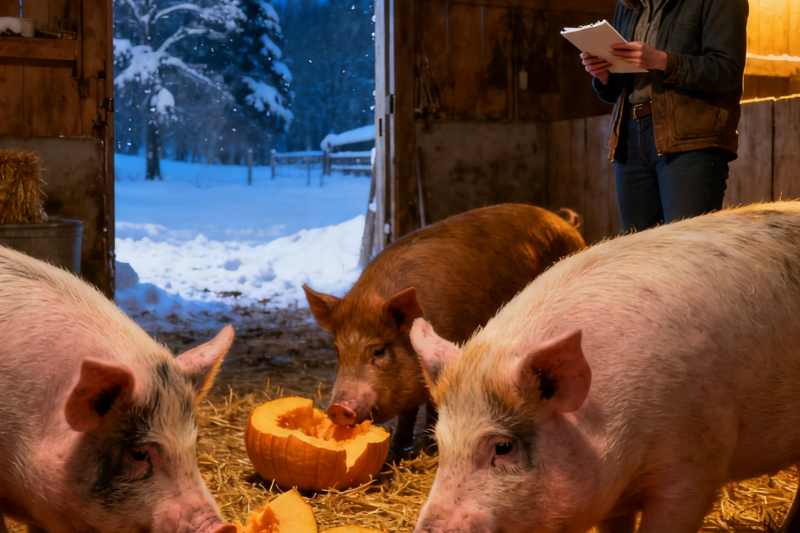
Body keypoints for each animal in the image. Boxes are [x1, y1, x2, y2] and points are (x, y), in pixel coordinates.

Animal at [303, 204, 585, 453]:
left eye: (378, 351)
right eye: (338, 352)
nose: (337, 408)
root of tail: (563, 221)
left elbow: (433, 405)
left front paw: (429, 448)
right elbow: (408, 411)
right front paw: (399, 448)